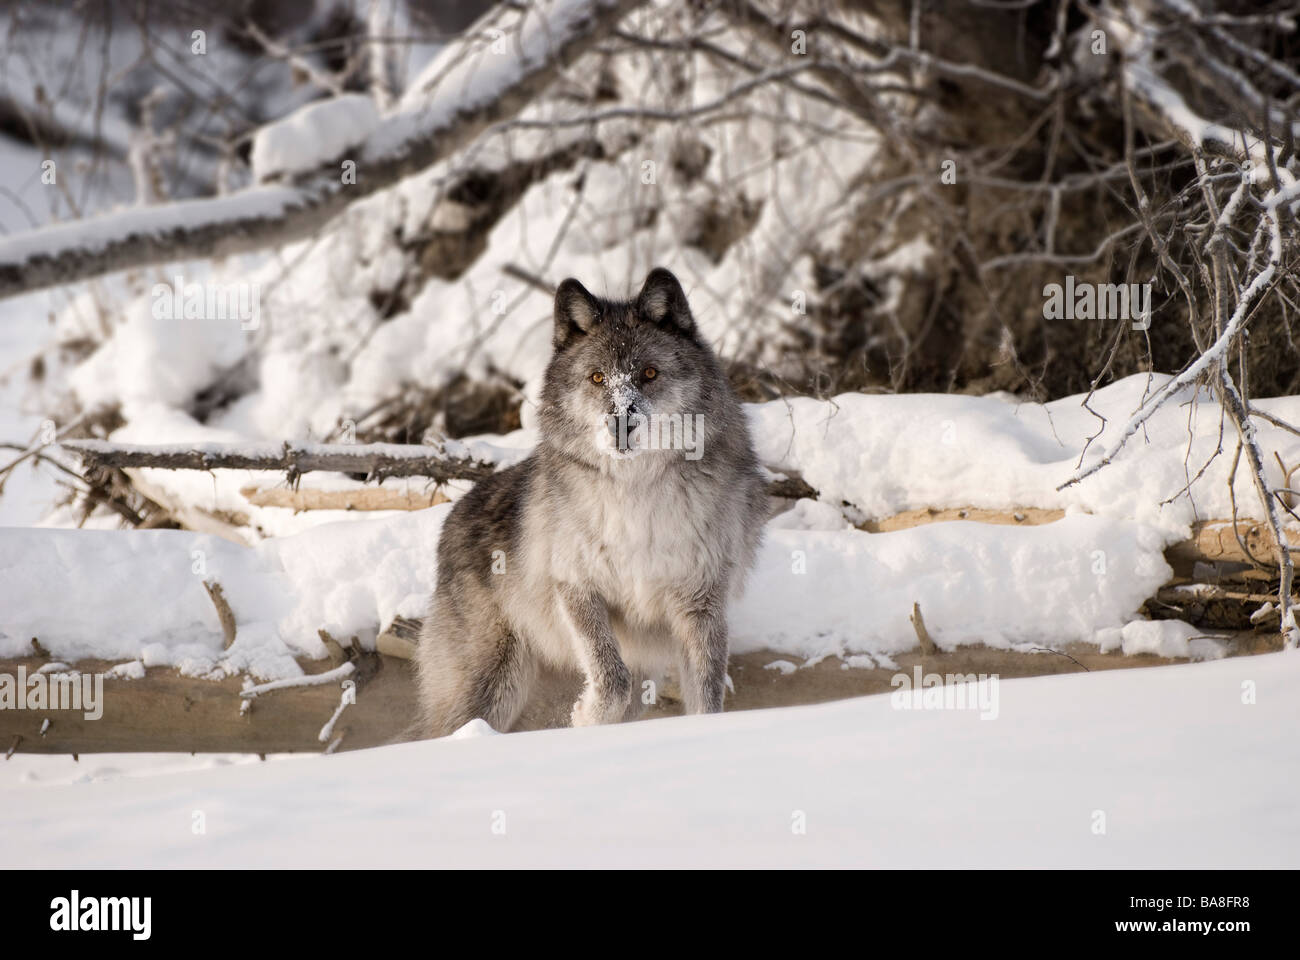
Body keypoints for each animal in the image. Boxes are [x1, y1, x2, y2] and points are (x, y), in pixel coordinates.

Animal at [415, 268, 767, 736]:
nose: (620, 423)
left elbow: (707, 696)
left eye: (649, 373)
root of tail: (449, 520)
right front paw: (585, 720)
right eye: (598, 378)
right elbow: (610, 677)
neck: (636, 494)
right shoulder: (577, 588)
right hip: (492, 686)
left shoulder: (701, 602)